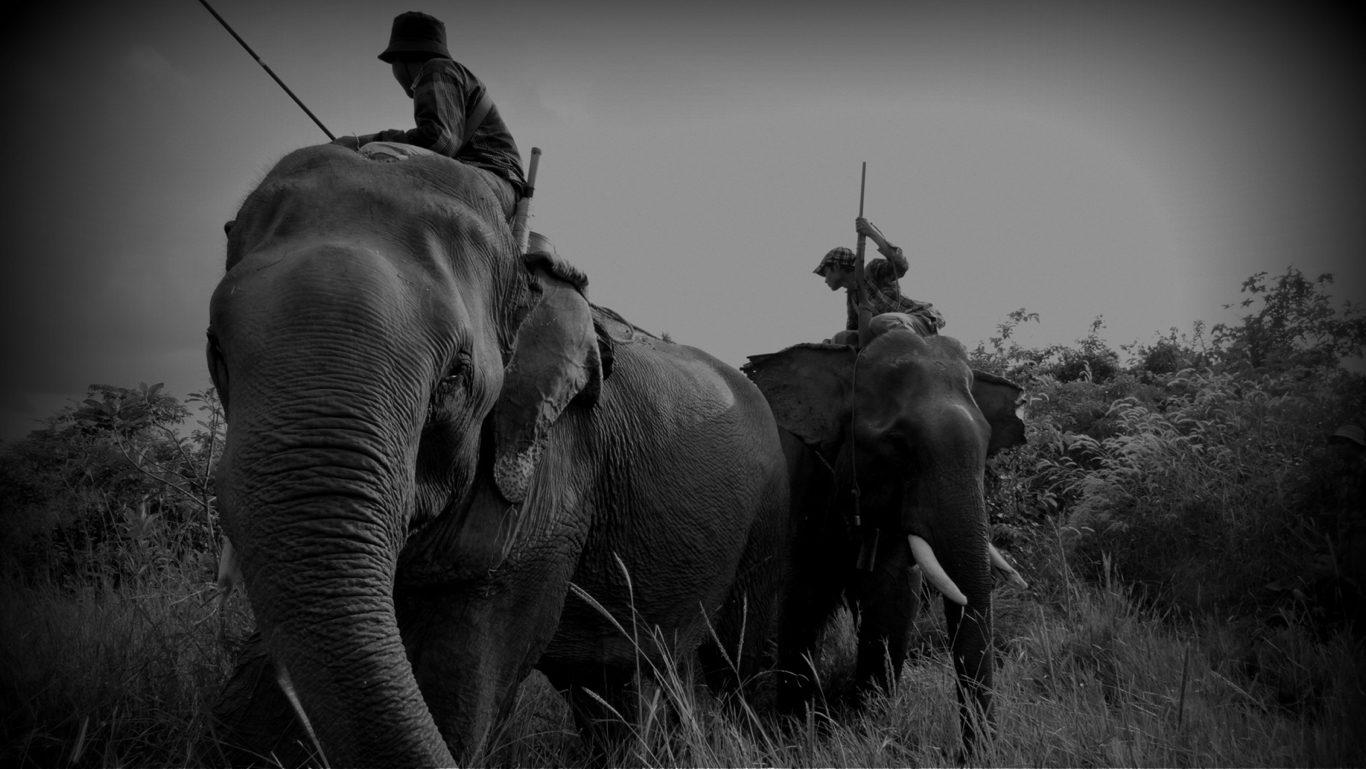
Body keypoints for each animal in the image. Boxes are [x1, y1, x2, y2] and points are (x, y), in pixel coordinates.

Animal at [205, 143, 789, 767]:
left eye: (455, 375)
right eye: (216, 350)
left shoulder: (551, 472)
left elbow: (463, 670)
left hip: (771, 513)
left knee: (739, 660)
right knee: (611, 682)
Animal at [742, 313, 1027, 754]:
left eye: (987, 442)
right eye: (897, 444)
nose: (965, 755)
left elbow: (892, 599)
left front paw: (869, 728)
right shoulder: (804, 479)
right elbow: (802, 594)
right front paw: (794, 734)